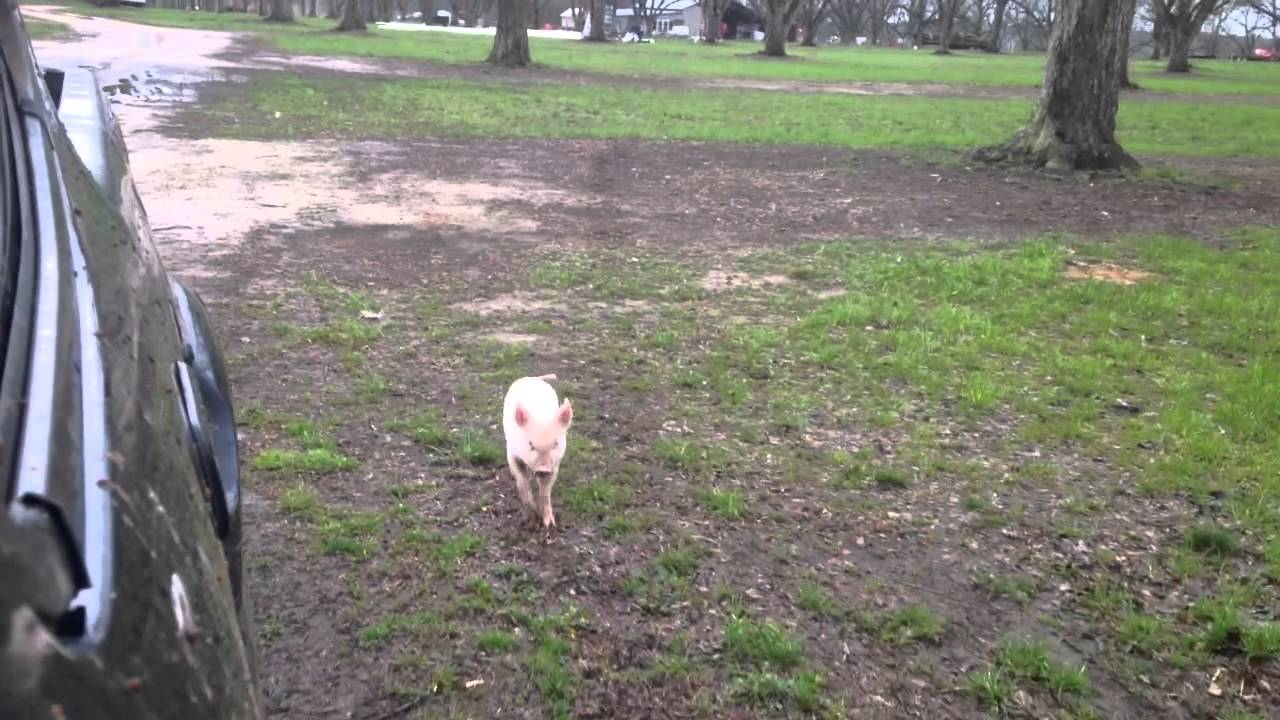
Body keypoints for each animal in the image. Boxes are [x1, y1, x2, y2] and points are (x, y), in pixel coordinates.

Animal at [502, 374, 573, 529]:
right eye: (530, 444)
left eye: (555, 443)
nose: (543, 468)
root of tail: (532, 378)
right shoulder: (511, 454)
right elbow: (522, 482)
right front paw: (531, 519)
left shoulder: (555, 463)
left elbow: (545, 489)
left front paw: (548, 524)